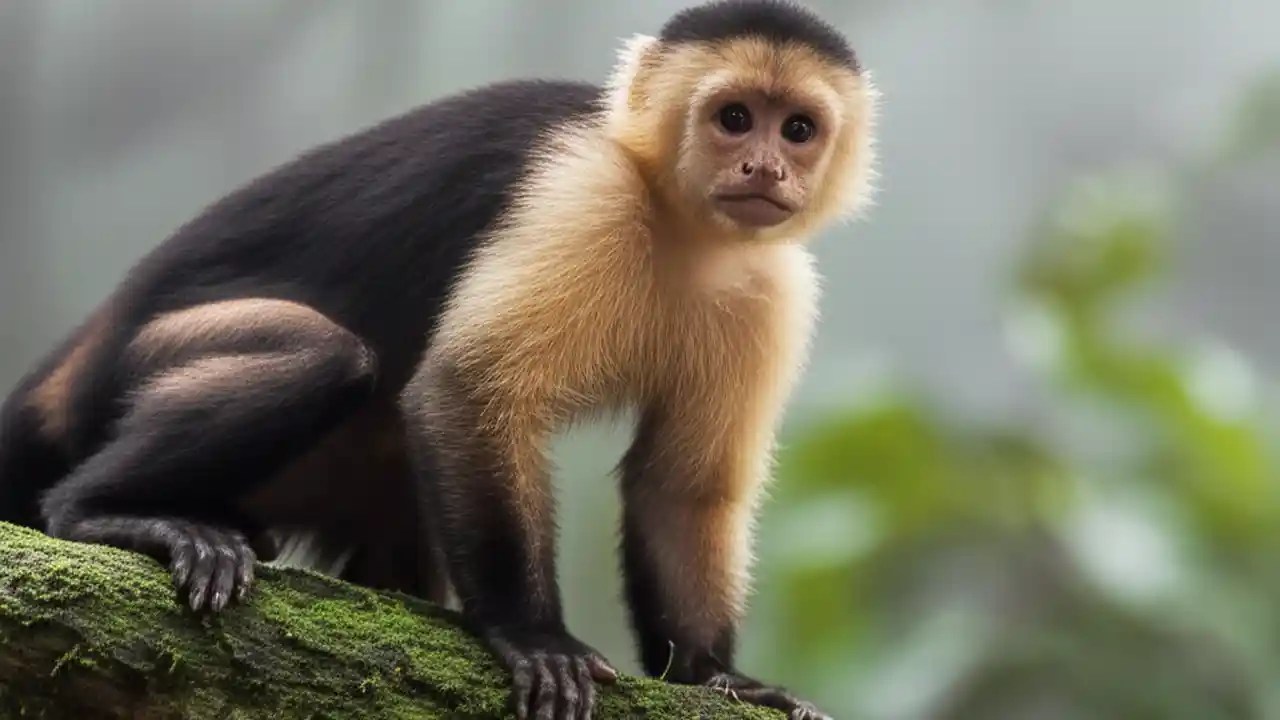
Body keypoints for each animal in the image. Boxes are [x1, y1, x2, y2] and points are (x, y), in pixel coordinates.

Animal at [0, 1, 877, 718]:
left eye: (797, 130)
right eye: (734, 117)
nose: (764, 167)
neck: (674, 213)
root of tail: (81, 348)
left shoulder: (770, 289)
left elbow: (680, 488)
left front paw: (713, 673)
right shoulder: (582, 196)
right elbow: (468, 390)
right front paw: (532, 633)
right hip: (117, 374)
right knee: (326, 356)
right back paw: (101, 511)